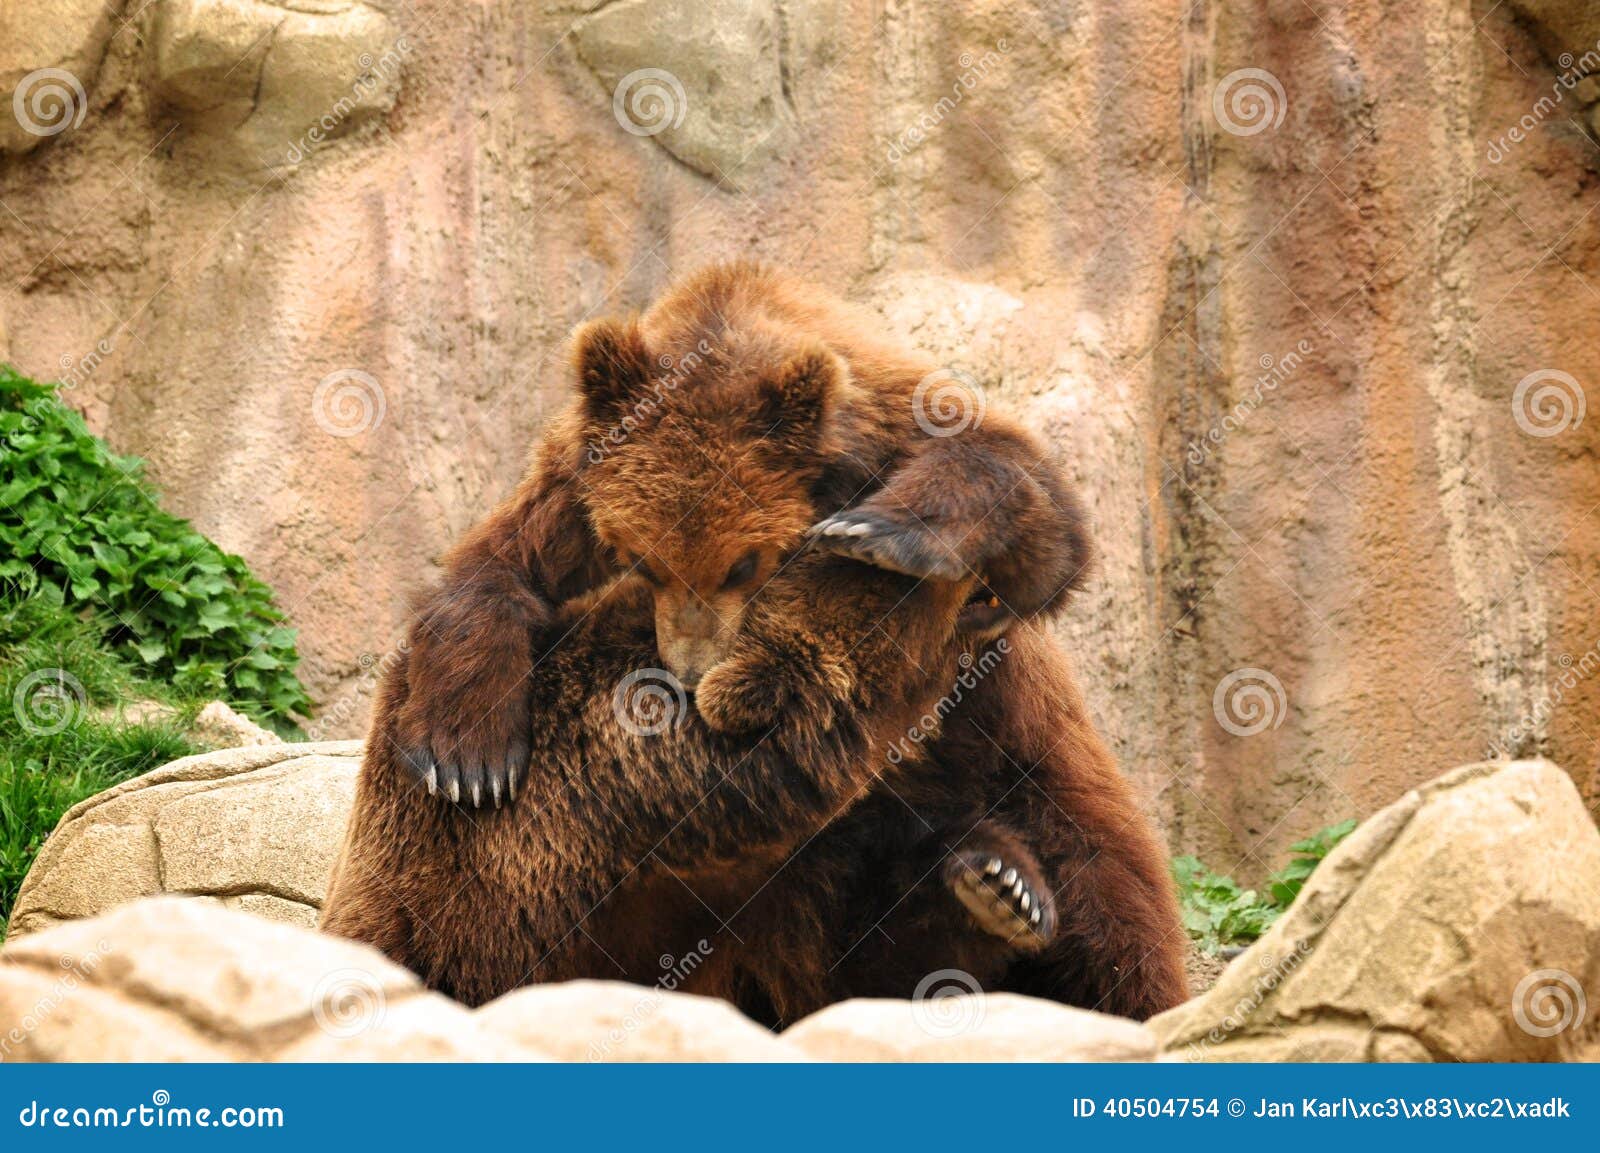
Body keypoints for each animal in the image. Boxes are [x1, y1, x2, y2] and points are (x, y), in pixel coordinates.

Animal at [319, 262, 1188, 1023]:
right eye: (644, 558)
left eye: (744, 561)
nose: (689, 670)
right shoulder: (575, 491)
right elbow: (497, 569)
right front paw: (468, 754)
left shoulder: (893, 422)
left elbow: (1033, 507)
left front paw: (883, 534)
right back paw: (981, 881)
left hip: (1031, 773)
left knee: (1104, 902)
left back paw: (1020, 898)